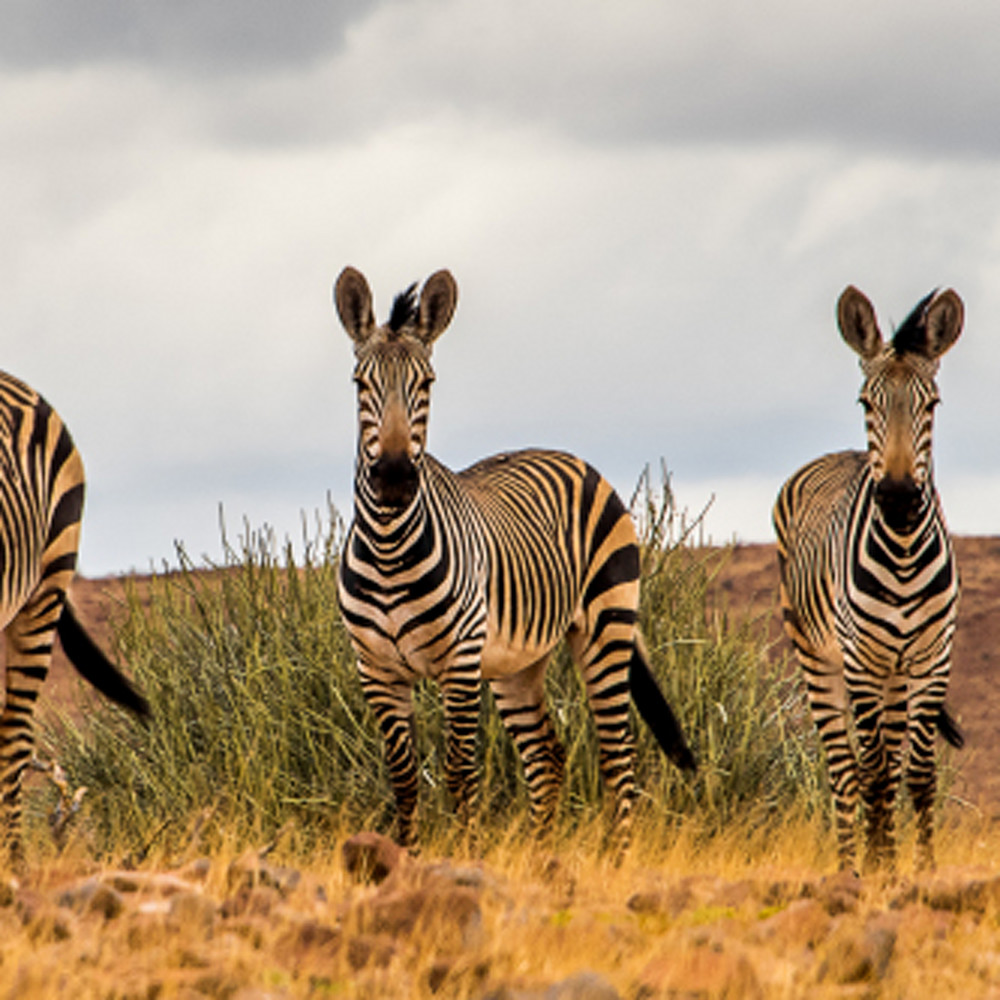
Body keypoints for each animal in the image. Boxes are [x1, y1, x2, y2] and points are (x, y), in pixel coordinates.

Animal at [334, 266, 695, 850]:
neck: (390, 549)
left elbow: (460, 772)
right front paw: (406, 858)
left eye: (427, 385)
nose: (392, 478)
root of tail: (571, 457)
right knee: (547, 757)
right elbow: (404, 779)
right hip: (517, 664)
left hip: (606, 627)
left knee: (618, 754)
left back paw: (616, 855)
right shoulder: (378, 670)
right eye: (359, 384)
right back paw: (542, 856)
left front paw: (464, 857)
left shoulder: (459, 661)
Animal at [773, 285, 964, 873]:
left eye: (933, 405)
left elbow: (917, 774)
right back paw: (850, 868)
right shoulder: (859, 661)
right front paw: (879, 874)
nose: (899, 498)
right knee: (844, 771)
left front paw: (920, 872)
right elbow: (874, 774)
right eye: (865, 404)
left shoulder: (932, 659)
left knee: (889, 761)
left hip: (896, 676)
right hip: (822, 660)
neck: (901, 553)